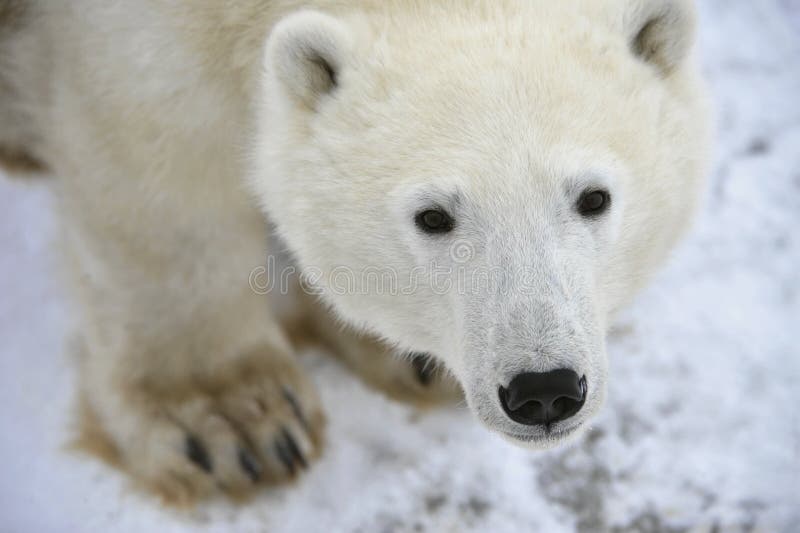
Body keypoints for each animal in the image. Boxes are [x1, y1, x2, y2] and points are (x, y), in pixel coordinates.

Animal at [0, 0, 711, 505]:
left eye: (593, 197)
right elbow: (160, 179)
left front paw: (404, 358)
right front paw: (233, 423)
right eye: (433, 216)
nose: (544, 391)